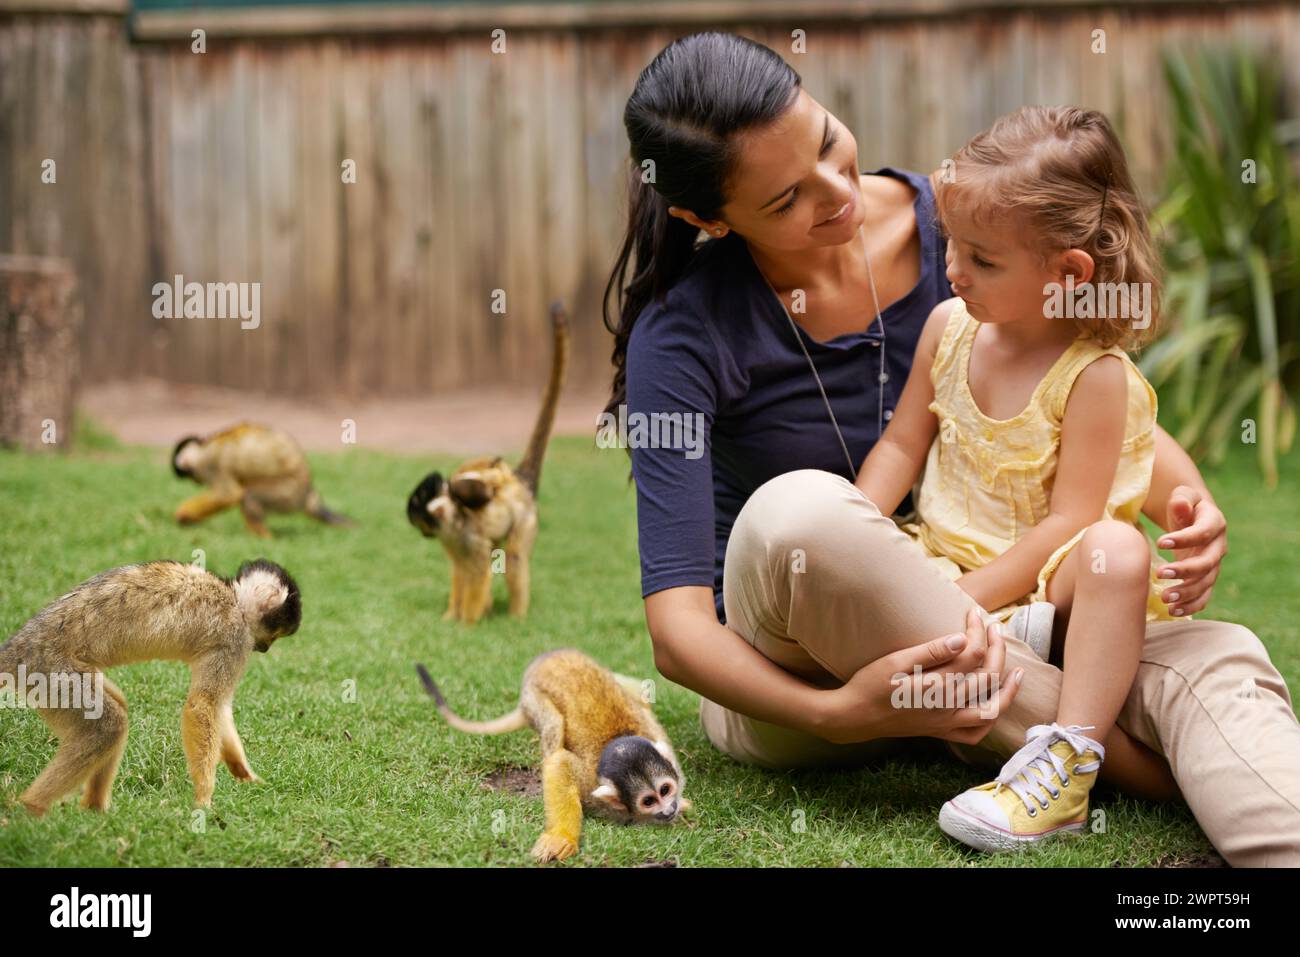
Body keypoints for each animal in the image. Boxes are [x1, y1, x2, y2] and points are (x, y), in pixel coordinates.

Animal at [0, 559, 301, 815]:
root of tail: (16, 647)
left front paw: (242, 771)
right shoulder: (235, 638)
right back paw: (32, 807)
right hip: (47, 669)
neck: (234, 598)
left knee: (114, 711)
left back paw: (94, 810)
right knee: (106, 726)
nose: (264, 648)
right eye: (275, 634)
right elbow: (203, 704)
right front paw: (203, 798)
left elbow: (219, 708)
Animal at [172, 423, 351, 538]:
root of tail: (309, 494)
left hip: (289, 493)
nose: (197, 482)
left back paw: (264, 538)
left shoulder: (211, 465)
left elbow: (228, 494)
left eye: (194, 477)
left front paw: (184, 514)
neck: (205, 448)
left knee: (249, 496)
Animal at [406, 302, 569, 624]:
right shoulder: (452, 538)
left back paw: (517, 616)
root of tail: (521, 482)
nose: (424, 533)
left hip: (526, 518)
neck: (455, 518)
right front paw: (450, 616)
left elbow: (479, 572)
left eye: (422, 524)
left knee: (514, 556)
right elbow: (461, 570)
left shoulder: (464, 534)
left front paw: (467, 624)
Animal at [416, 648, 690, 863]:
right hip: (533, 697)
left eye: (665, 789)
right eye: (649, 801)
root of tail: (549, 657)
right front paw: (562, 837)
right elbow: (560, 764)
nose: (669, 809)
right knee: (553, 726)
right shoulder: (591, 785)